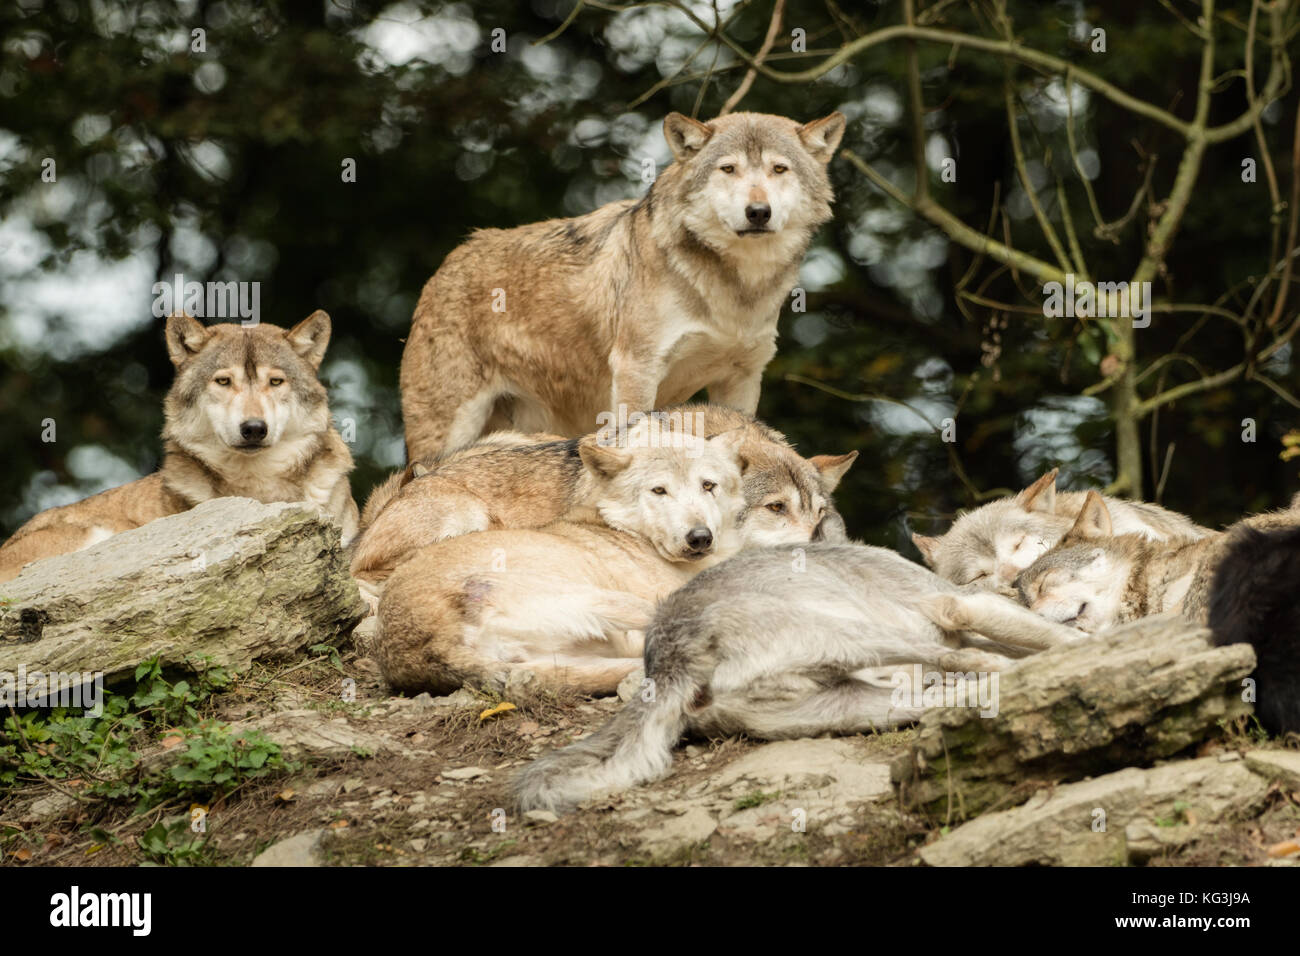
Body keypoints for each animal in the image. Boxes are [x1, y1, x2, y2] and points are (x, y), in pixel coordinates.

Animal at [399, 110, 846, 459]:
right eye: (729, 169)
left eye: (778, 169)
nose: (757, 212)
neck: (734, 290)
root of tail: (449, 261)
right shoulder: (637, 369)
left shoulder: (743, 377)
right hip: (446, 431)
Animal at [511, 542, 1085, 813]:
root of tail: (668, 662)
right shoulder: (964, 607)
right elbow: (1043, 635)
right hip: (858, 634)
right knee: (984, 667)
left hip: (858, 704)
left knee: (962, 690)